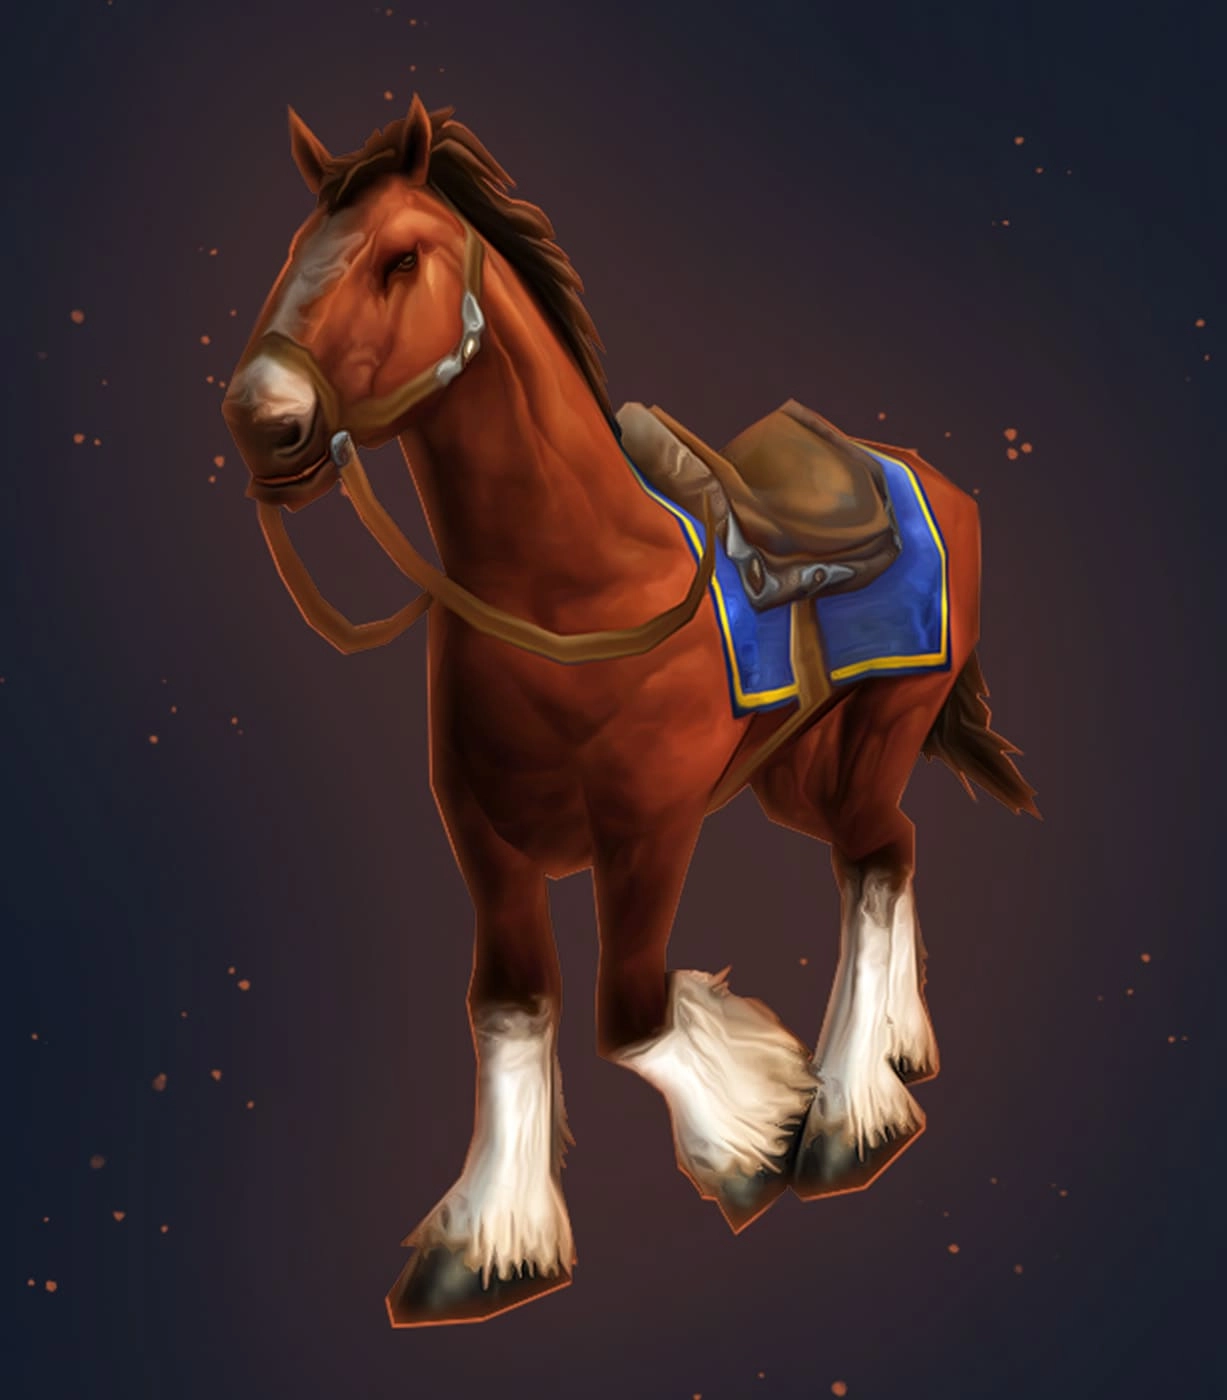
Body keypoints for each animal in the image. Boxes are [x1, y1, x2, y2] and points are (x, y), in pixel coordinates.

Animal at [222, 95, 1036, 1328]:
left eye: (398, 258)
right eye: (289, 255)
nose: (262, 419)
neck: (575, 590)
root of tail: (919, 471)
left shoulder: (648, 834)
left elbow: (634, 1014)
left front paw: (758, 1133)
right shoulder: (487, 843)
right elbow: (511, 1009)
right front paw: (488, 1245)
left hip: (882, 733)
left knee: (875, 863)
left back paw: (850, 1116)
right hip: (801, 771)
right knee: (888, 851)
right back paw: (896, 1054)